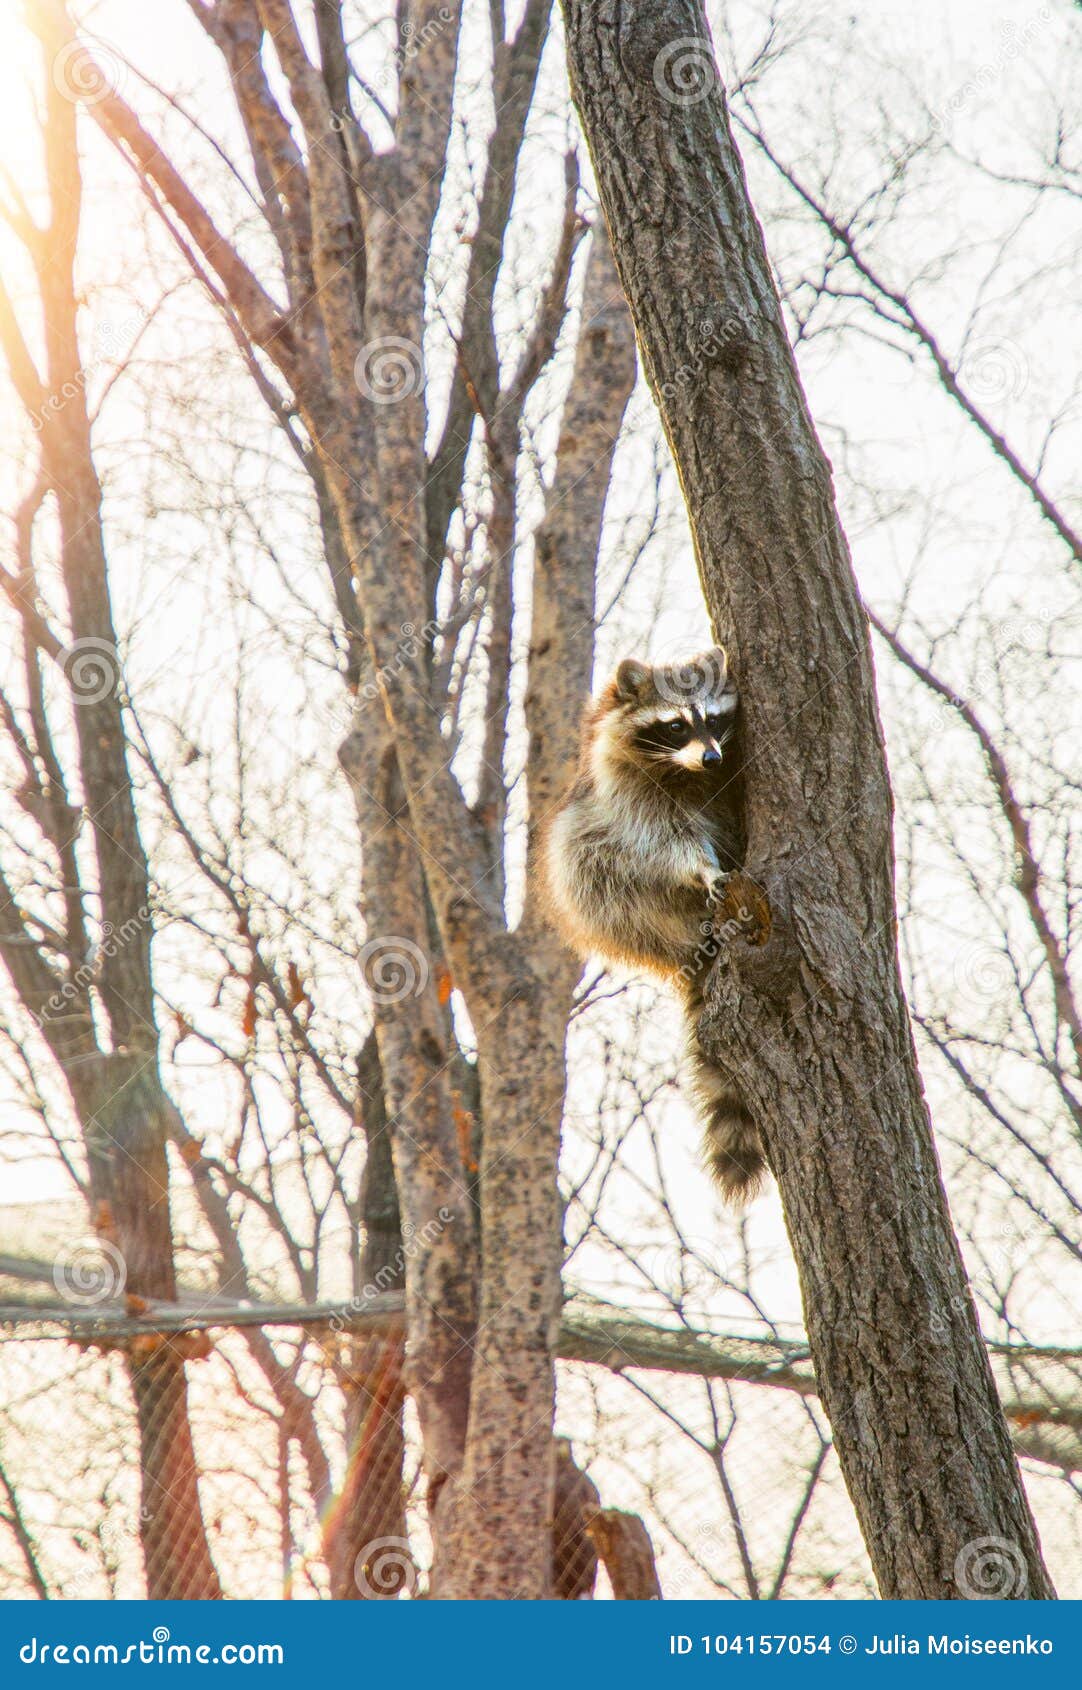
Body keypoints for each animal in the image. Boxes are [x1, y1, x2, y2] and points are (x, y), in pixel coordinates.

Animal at [542, 648, 764, 1201]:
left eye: (713, 719)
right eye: (675, 725)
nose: (712, 758)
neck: (686, 772)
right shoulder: (627, 790)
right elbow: (664, 841)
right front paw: (702, 868)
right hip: (604, 894)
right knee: (588, 858)